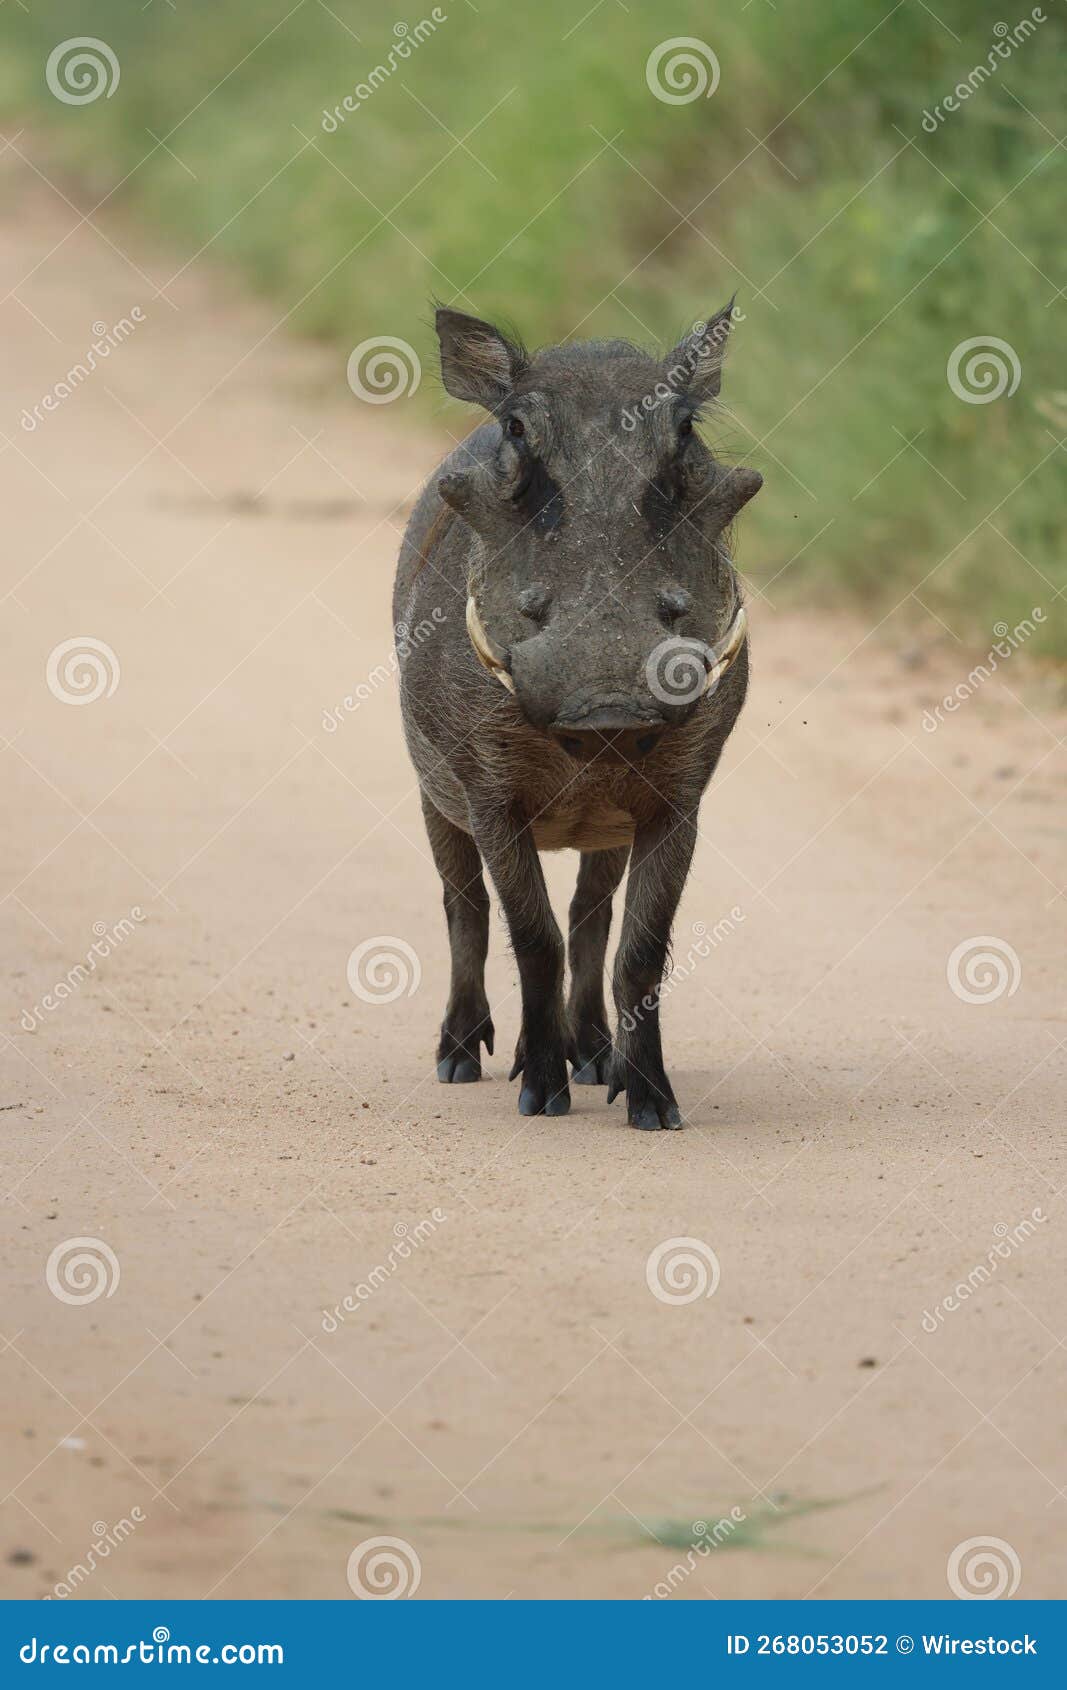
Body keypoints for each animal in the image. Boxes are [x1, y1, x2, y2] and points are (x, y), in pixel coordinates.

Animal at [392, 302, 761, 1128]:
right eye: (516, 429)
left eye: (685, 431)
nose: (607, 704)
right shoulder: (489, 798)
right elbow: (532, 938)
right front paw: (540, 1090)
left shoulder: (673, 804)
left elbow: (638, 950)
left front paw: (650, 1102)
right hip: (435, 804)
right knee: (464, 908)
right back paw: (462, 1055)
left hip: (606, 832)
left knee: (592, 915)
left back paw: (593, 1055)